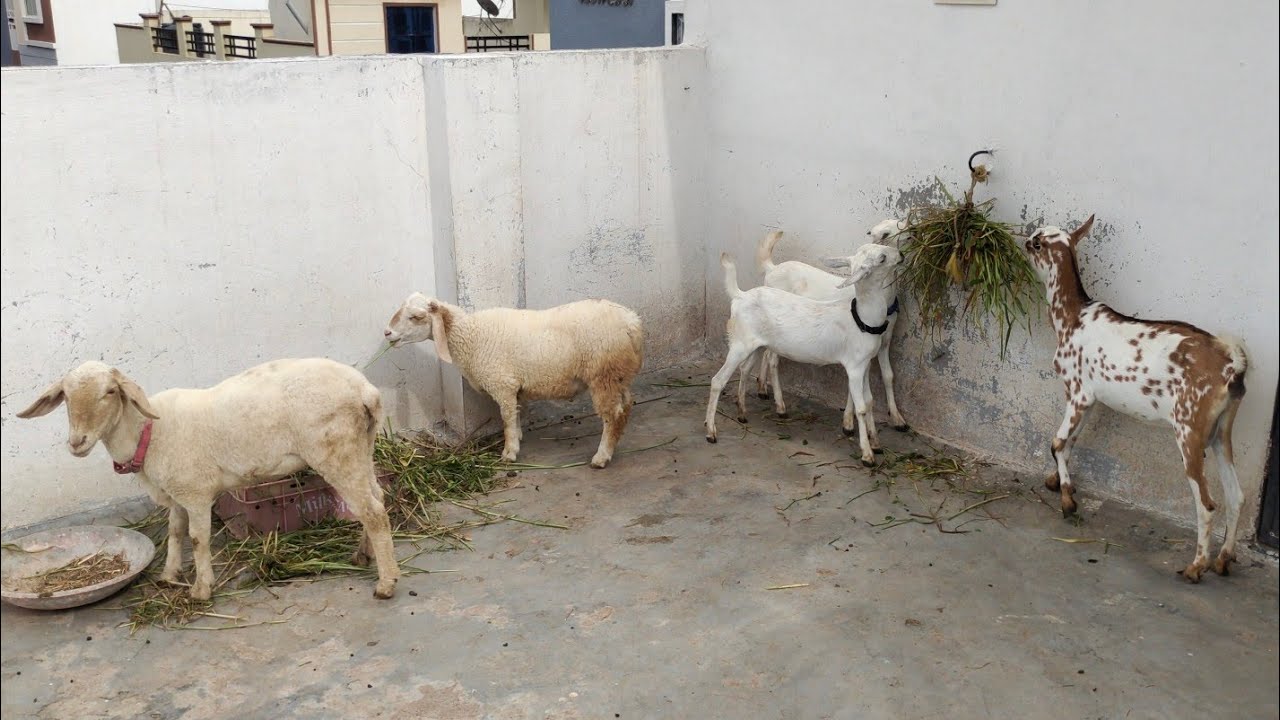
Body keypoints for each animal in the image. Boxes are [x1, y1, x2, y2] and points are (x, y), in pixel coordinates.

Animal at [16, 359, 400, 600]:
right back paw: (363, 556)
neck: (149, 432)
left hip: (334, 450)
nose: (77, 442)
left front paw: (201, 589)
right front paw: (169, 576)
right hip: (361, 445)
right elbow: (174, 532)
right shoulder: (176, 495)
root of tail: (365, 390)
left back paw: (386, 583)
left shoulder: (196, 493)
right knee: (377, 500)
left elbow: (198, 539)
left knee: (372, 512)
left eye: (110, 392)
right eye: (65, 396)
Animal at [383, 293, 644, 469]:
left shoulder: (502, 384)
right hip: (619, 375)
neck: (469, 334)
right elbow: (515, 415)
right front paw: (517, 437)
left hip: (603, 374)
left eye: (416, 317)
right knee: (626, 407)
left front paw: (509, 452)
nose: (387, 333)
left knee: (612, 415)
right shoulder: (514, 387)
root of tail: (632, 323)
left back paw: (601, 457)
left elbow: (507, 419)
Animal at [706, 242, 903, 464]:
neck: (862, 319)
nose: (901, 255)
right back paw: (711, 432)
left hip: (755, 345)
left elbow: (869, 402)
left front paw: (876, 443)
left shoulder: (866, 364)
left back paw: (742, 413)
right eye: (882, 258)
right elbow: (861, 408)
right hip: (740, 344)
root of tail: (741, 295)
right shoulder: (854, 368)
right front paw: (867, 454)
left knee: (745, 368)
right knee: (718, 380)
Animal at [752, 220, 910, 432]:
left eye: (900, 222)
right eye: (885, 234)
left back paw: (762, 389)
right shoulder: (856, 348)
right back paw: (780, 406)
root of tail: (772, 268)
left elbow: (888, 376)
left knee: (767, 352)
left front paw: (897, 418)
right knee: (771, 357)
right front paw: (848, 422)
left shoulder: (884, 341)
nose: (913, 232)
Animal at [1025, 215, 1249, 582]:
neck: (1072, 317)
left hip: (1189, 429)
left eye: (1037, 242)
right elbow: (1070, 442)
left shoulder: (1078, 393)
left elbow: (1057, 443)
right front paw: (1055, 482)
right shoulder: (1088, 399)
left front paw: (1069, 502)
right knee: (1236, 496)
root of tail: (1233, 365)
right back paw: (1223, 560)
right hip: (1221, 430)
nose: (1022, 239)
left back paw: (1196, 567)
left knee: (1207, 503)